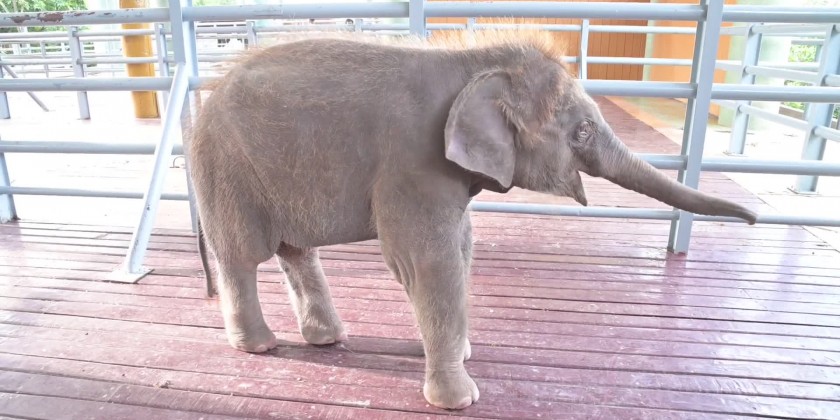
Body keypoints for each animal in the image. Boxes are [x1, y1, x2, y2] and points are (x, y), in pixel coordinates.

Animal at [187, 31, 757, 410]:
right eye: (582, 131)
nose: (753, 218)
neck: (474, 63)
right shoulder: (413, 162)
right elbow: (428, 262)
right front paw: (459, 400)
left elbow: (461, 250)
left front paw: (464, 352)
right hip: (225, 168)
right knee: (242, 256)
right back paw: (259, 346)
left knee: (295, 251)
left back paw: (327, 339)